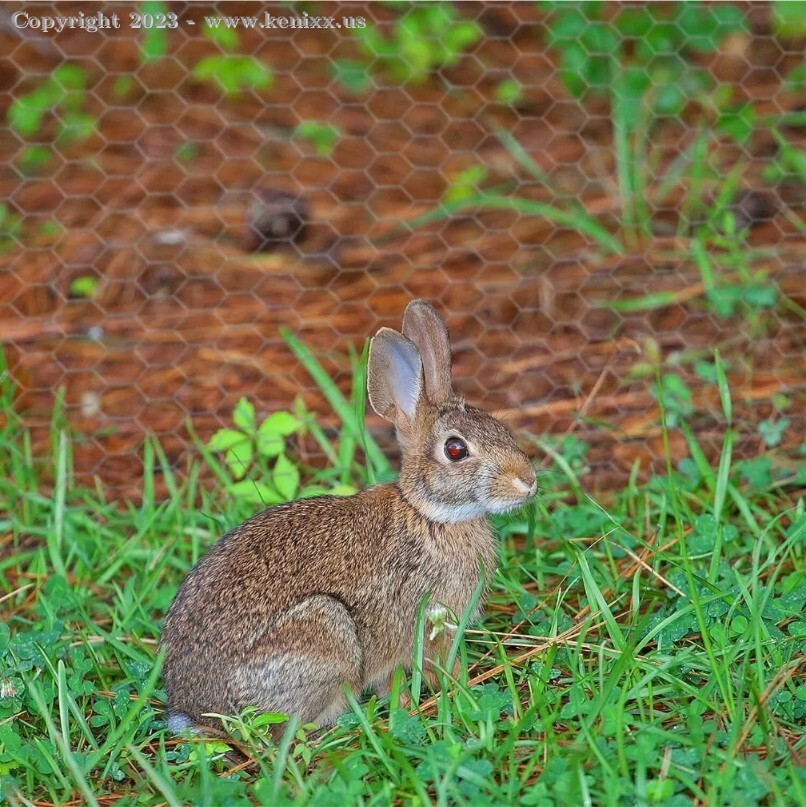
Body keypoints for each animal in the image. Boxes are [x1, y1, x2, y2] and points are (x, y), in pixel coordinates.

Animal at [160, 299, 537, 738]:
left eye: (499, 426)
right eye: (456, 450)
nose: (528, 481)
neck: (429, 514)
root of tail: (195, 710)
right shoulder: (426, 623)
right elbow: (426, 670)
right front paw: (453, 695)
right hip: (326, 631)